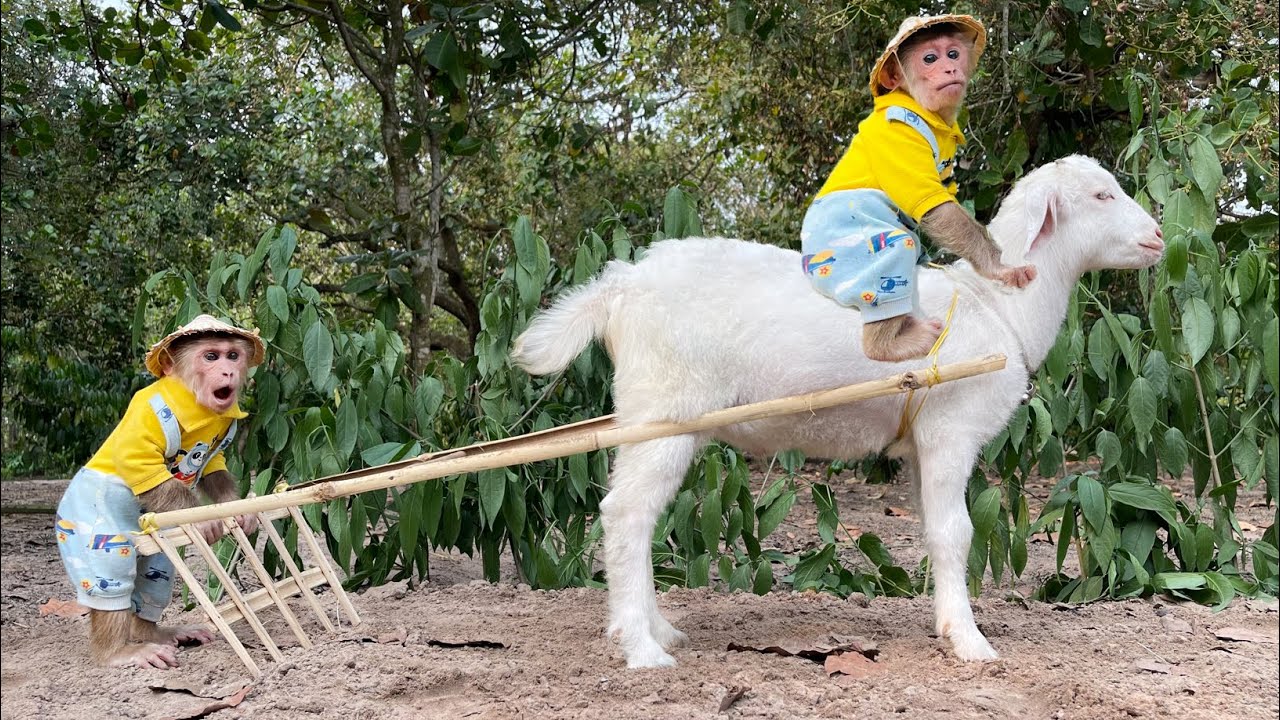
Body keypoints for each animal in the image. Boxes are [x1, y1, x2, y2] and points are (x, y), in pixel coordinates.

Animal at [511, 155, 1165, 668]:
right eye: (1101, 195)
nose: (1158, 238)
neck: (999, 306)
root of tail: (619, 286)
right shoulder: (951, 431)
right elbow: (956, 532)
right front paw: (971, 642)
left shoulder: (922, 443)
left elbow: (932, 532)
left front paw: (945, 624)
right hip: (663, 411)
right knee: (627, 514)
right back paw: (642, 649)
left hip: (663, 417)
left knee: (641, 515)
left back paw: (659, 629)